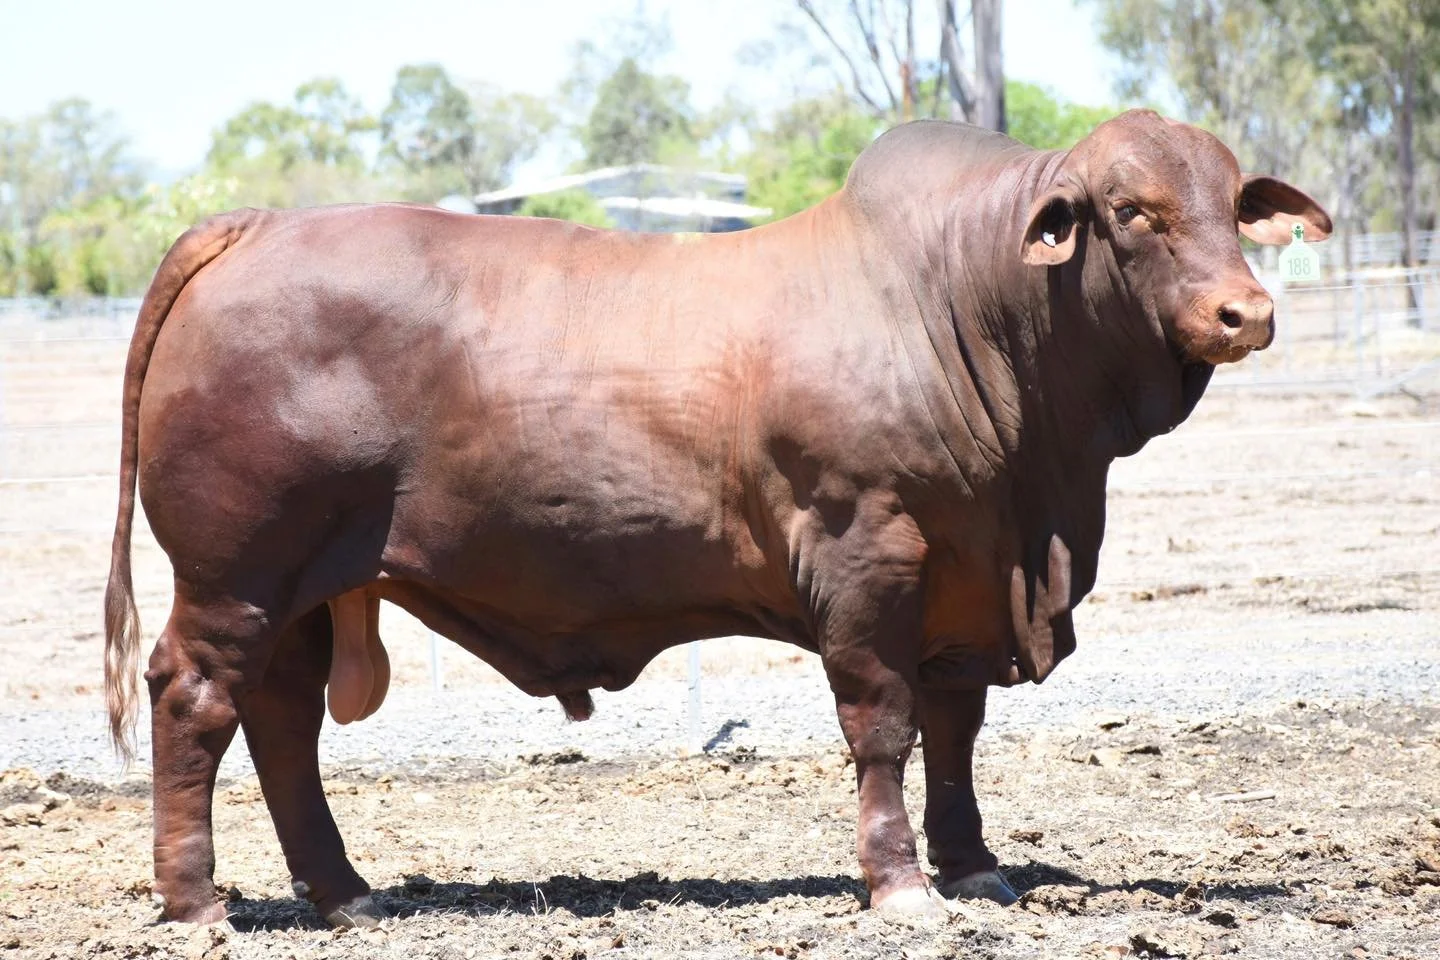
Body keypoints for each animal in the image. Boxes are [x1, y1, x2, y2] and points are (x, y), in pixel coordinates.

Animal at [103, 109, 1331, 926]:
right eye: (1132, 211)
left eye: (1235, 208)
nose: (1248, 313)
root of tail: (258, 224)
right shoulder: (867, 553)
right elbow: (883, 725)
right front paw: (900, 887)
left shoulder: (966, 577)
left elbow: (954, 730)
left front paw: (975, 863)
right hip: (234, 573)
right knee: (198, 698)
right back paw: (197, 902)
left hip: (310, 585)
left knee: (283, 718)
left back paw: (343, 891)